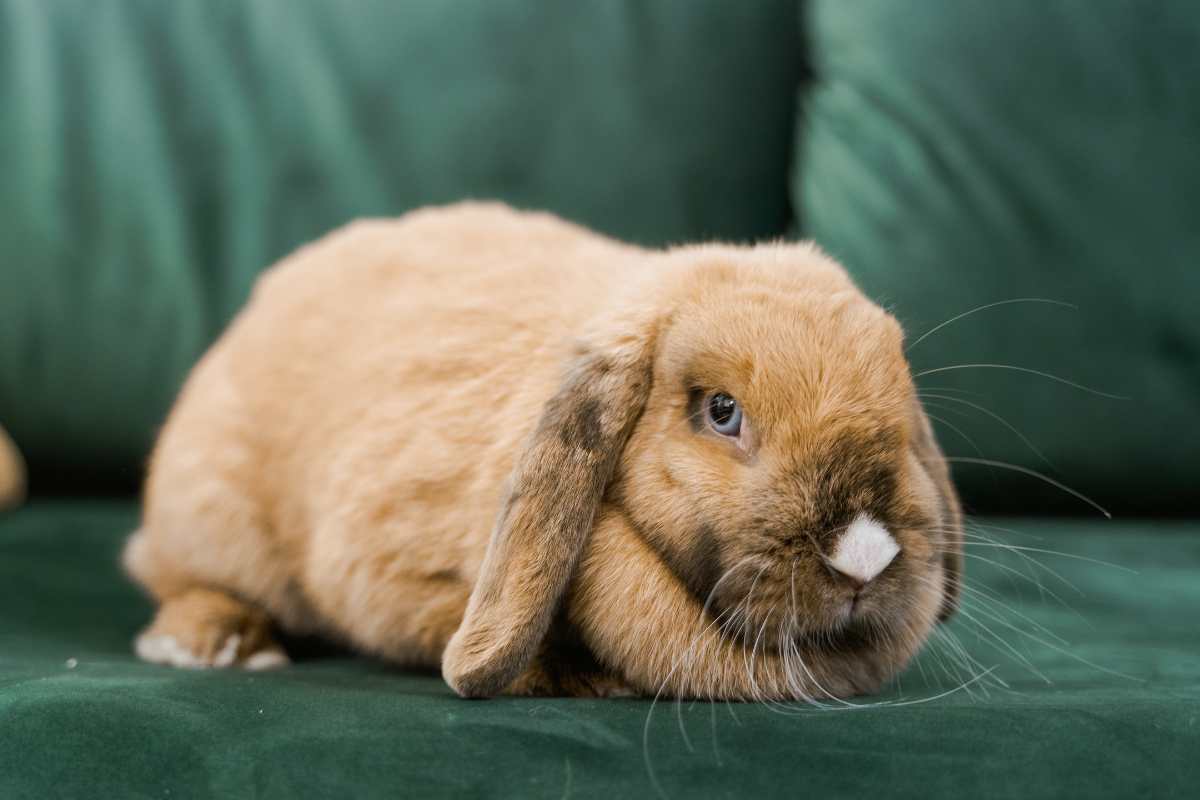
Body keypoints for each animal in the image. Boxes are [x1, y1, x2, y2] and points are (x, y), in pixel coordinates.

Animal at [123, 202, 963, 700]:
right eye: (721, 412)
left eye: (899, 408)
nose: (865, 554)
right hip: (213, 517)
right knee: (180, 577)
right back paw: (218, 646)